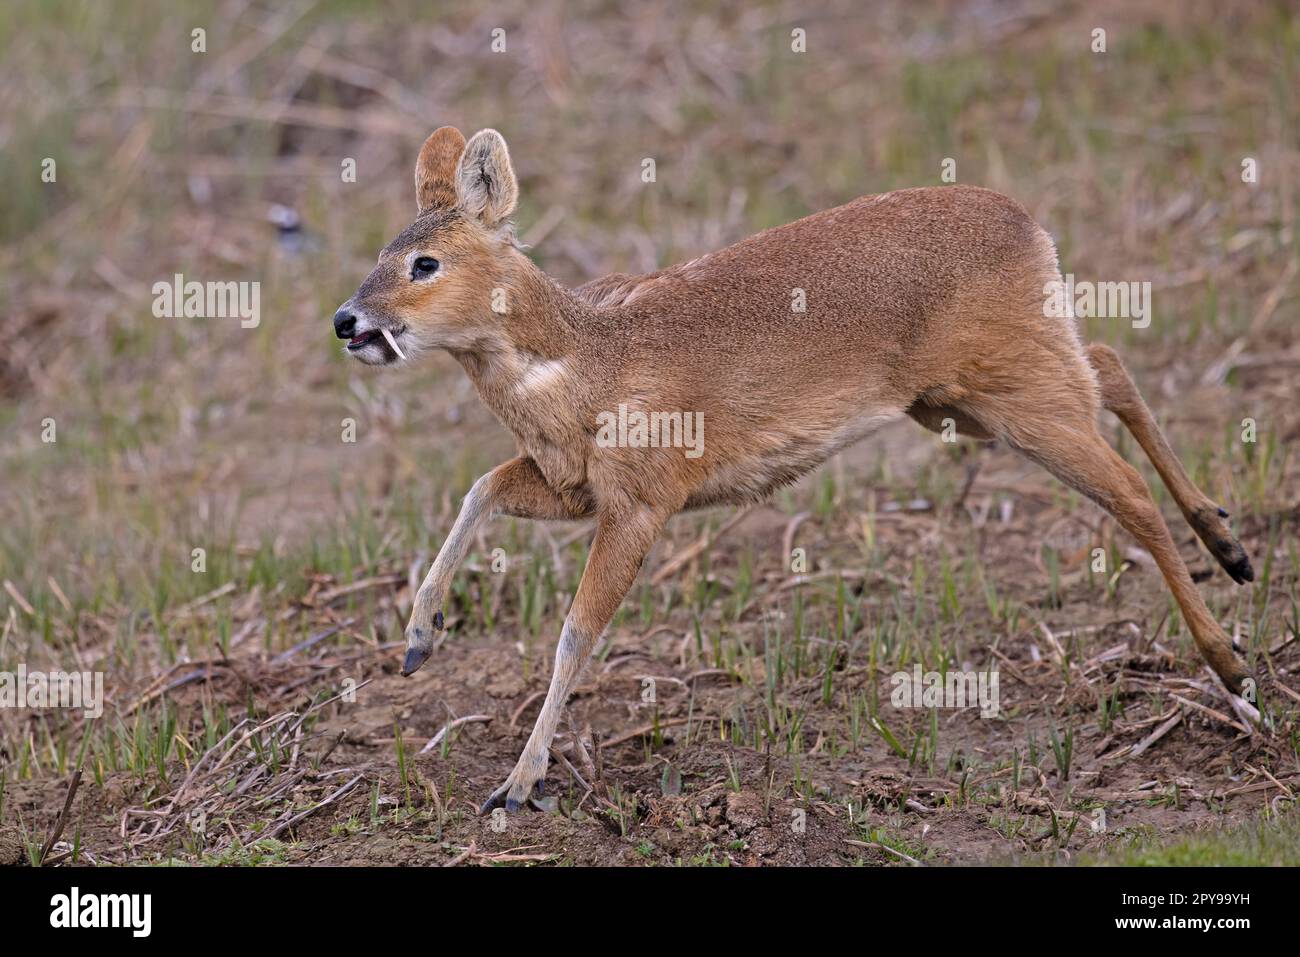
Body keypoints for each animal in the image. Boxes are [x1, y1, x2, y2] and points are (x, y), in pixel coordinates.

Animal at [333, 126, 1256, 813]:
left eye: (424, 262)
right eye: (380, 249)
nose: (346, 320)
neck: (589, 360)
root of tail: (1028, 221)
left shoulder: (643, 498)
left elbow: (574, 633)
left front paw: (518, 783)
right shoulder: (574, 486)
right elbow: (480, 486)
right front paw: (418, 638)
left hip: (1012, 391)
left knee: (1128, 489)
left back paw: (1233, 663)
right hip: (970, 399)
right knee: (1111, 366)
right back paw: (1229, 543)